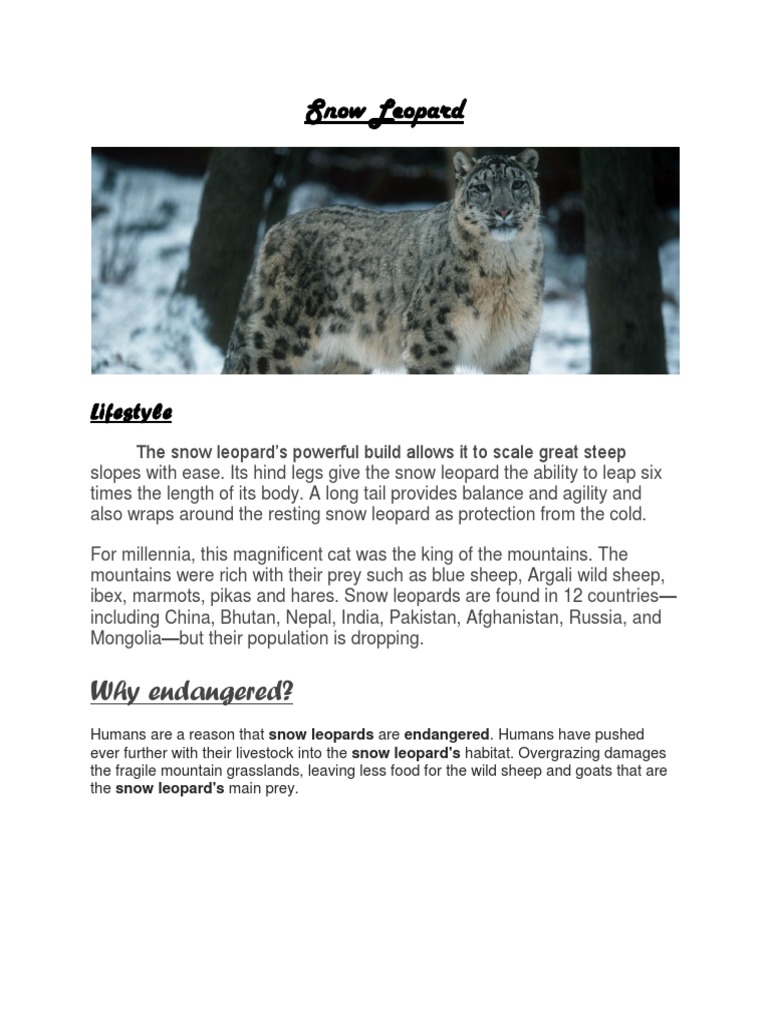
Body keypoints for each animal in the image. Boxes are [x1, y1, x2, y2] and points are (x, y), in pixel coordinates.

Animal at [222, 150, 543, 375]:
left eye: (517, 184)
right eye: (482, 188)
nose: (504, 210)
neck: (504, 268)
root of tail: (275, 228)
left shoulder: (513, 348)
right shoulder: (431, 337)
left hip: (346, 358)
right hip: (277, 339)